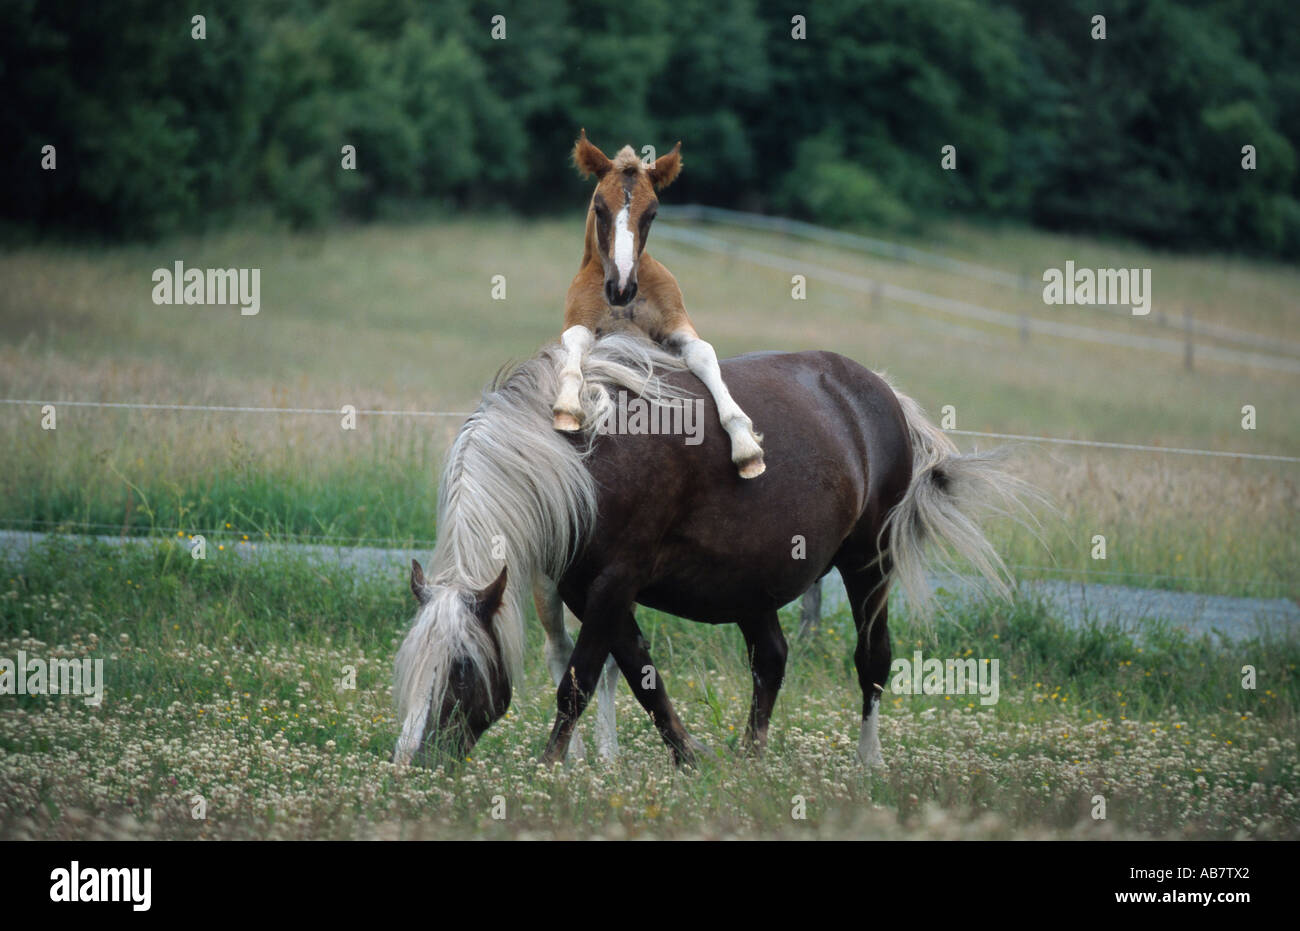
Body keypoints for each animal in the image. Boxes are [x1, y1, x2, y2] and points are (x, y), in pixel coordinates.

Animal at [393, 334, 1030, 768]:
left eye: (460, 669)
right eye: (410, 664)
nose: (414, 763)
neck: (580, 457)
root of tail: (880, 390)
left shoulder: (613, 583)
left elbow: (578, 681)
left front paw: (550, 768)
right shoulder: (590, 591)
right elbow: (640, 676)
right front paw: (689, 759)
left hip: (868, 566)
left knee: (872, 660)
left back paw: (866, 764)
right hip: (753, 584)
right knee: (771, 659)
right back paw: (751, 757)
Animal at [550, 130, 766, 481]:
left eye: (652, 213)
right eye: (599, 208)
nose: (621, 288)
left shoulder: (676, 323)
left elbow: (702, 352)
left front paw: (746, 445)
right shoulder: (576, 319)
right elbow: (576, 339)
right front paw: (567, 406)